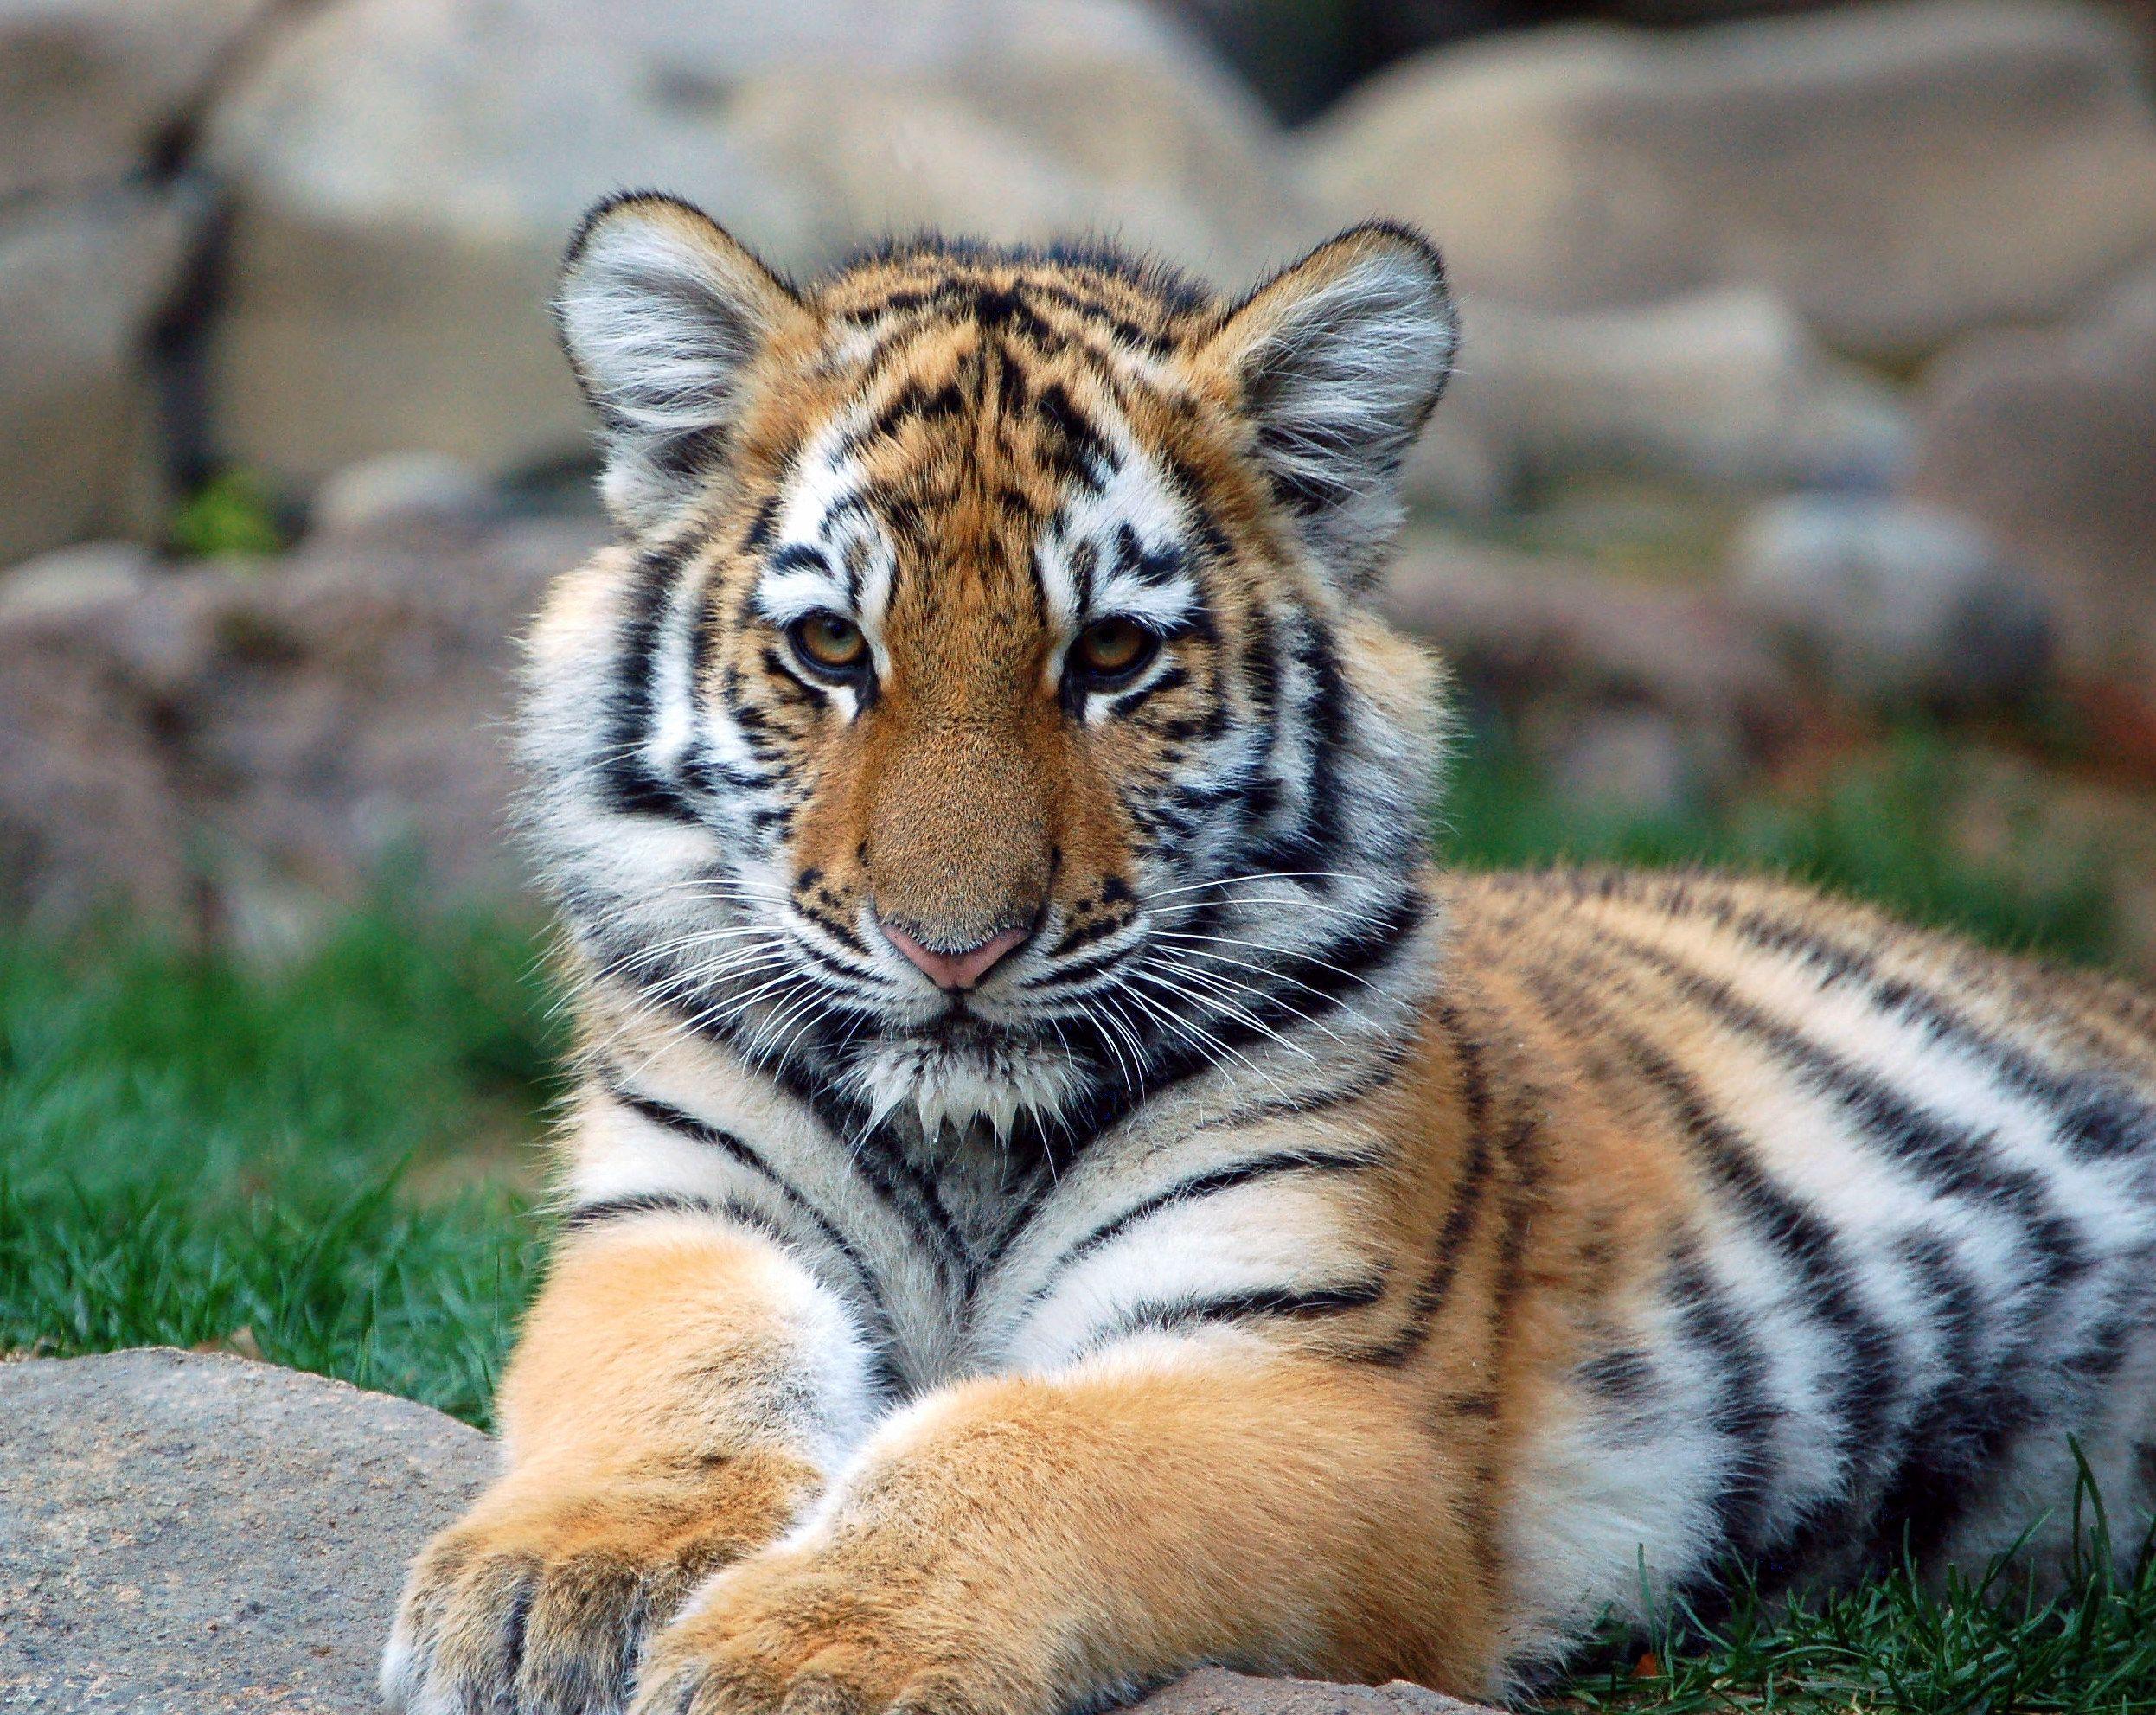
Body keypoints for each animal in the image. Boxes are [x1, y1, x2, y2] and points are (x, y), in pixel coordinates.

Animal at [382, 191, 2156, 1715]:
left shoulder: (1323, 1388)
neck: (967, 1141)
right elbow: (678, 1378)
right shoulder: (677, 1218)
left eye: (1110, 656)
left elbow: (1013, 1453)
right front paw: (556, 1583)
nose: (953, 949)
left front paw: (818, 1651)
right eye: (830, 647)